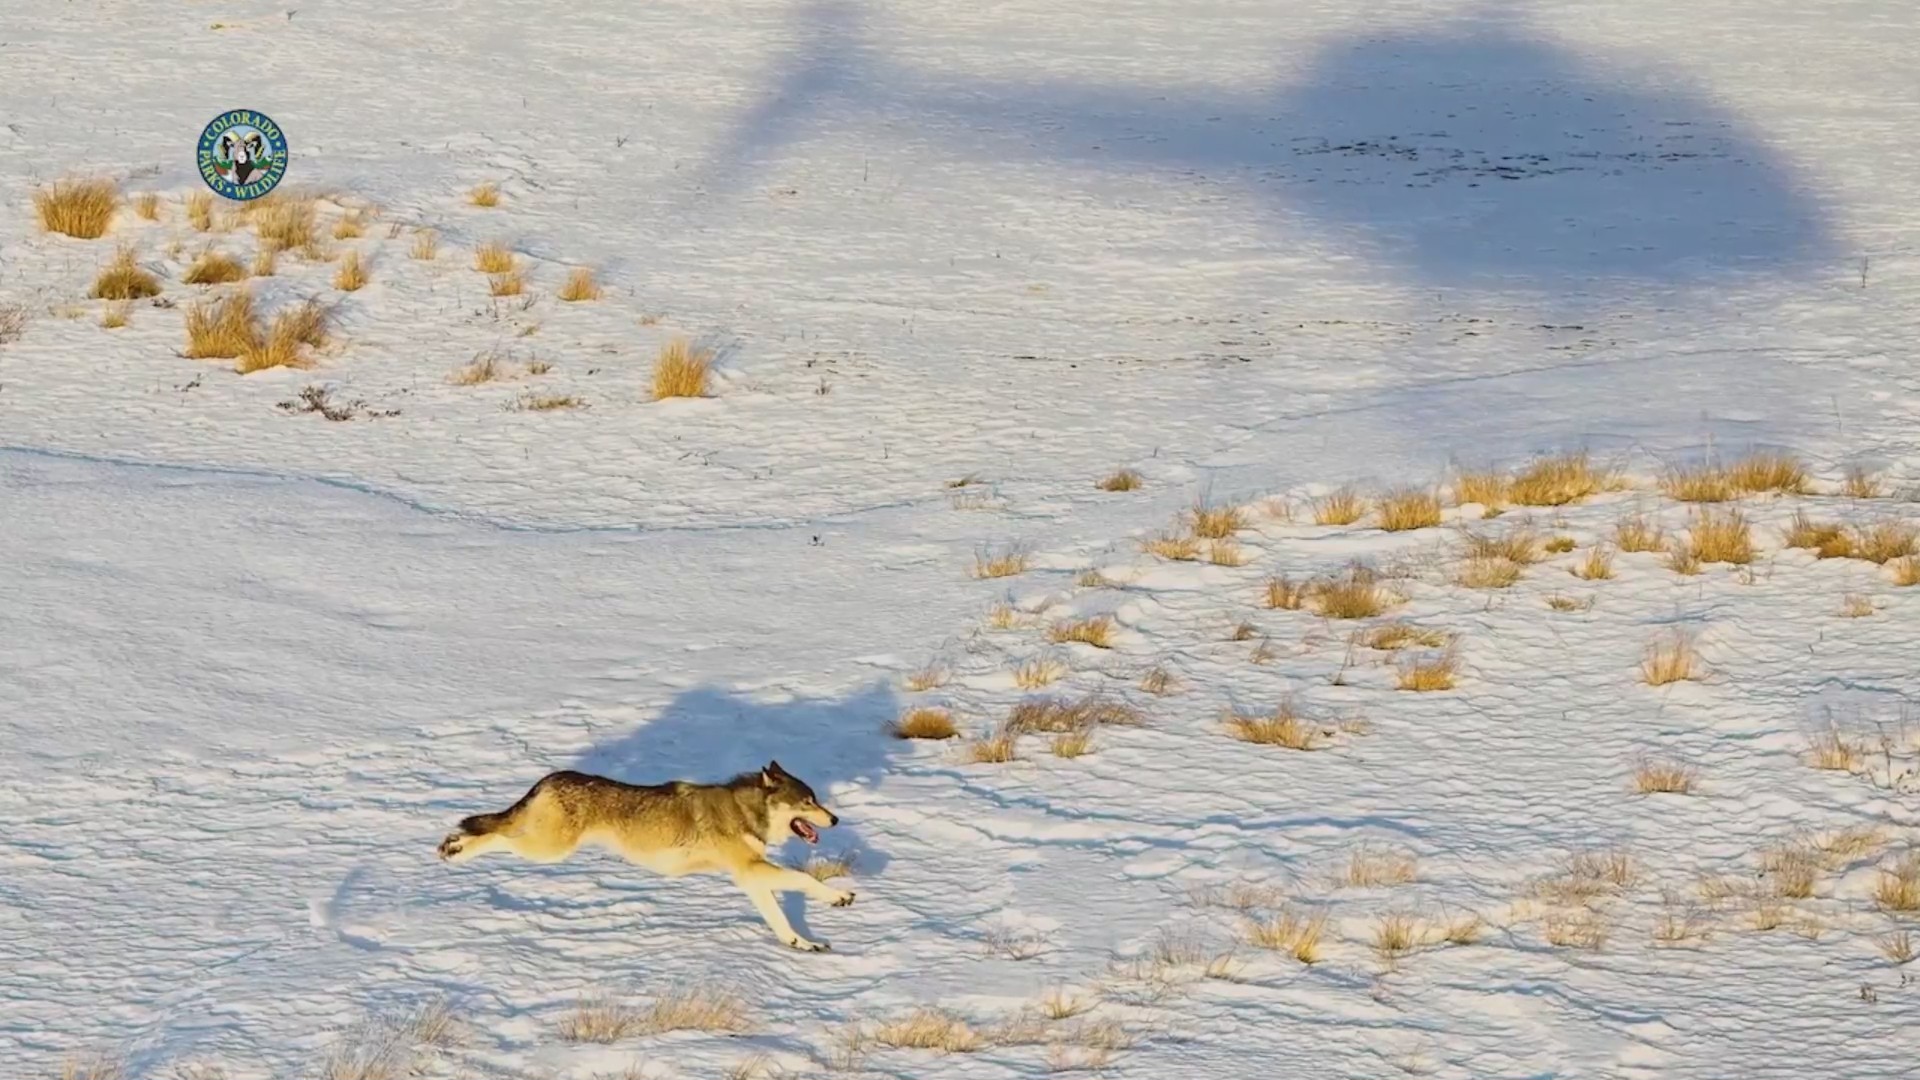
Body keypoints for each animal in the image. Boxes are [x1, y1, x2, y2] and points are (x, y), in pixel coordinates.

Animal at [438, 760, 854, 951]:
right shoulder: (750, 869)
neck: (744, 811)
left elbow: (780, 921)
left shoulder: (750, 877)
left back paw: (452, 845)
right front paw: (840, 897)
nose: (835, 819)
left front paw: (803, 944)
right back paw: (454, 850)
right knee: (493, 835)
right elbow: (803, 878)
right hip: (547, 850)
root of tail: (550, 778)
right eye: (808, 801)